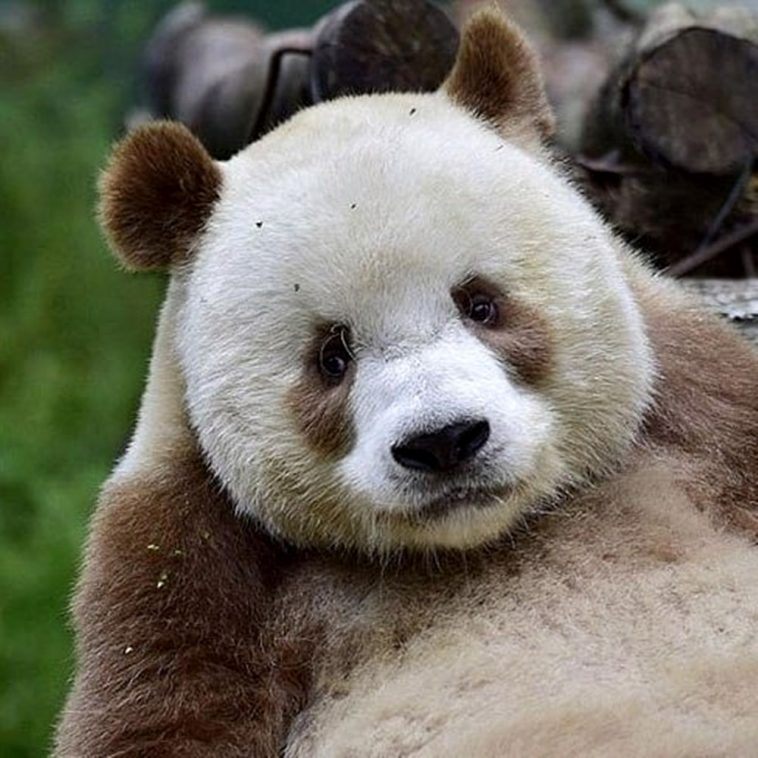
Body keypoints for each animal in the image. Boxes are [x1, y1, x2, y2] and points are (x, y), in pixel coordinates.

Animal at [56, 8, 758, 757]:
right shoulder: (184, 554)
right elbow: (162, 707)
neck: (480, 540)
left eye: (481, 304)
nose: (445, 441)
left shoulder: (706, 411)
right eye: (332, 356)